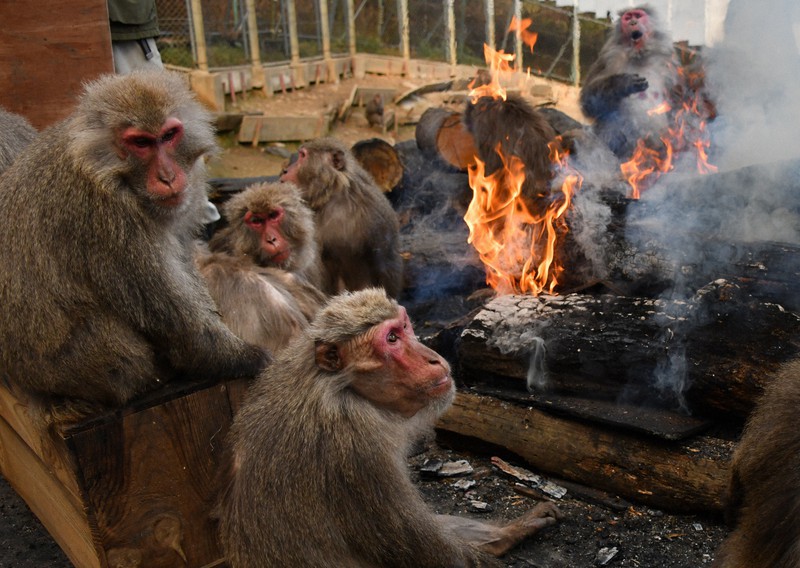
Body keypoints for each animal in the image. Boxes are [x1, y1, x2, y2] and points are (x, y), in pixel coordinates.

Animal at [0, 70, 269, 424]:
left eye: (168, 136)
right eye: (140, 142)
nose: (168, 177)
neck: (108, 168)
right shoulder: (109, 216)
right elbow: (176, 321)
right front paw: (244, 357)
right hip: (79, 367)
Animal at [216, 288, 562, 568]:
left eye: (405, 328)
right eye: (391, 339)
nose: (433, 358)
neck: (340, 387)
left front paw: (508, 530)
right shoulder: (357, 447)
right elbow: (432, 554)